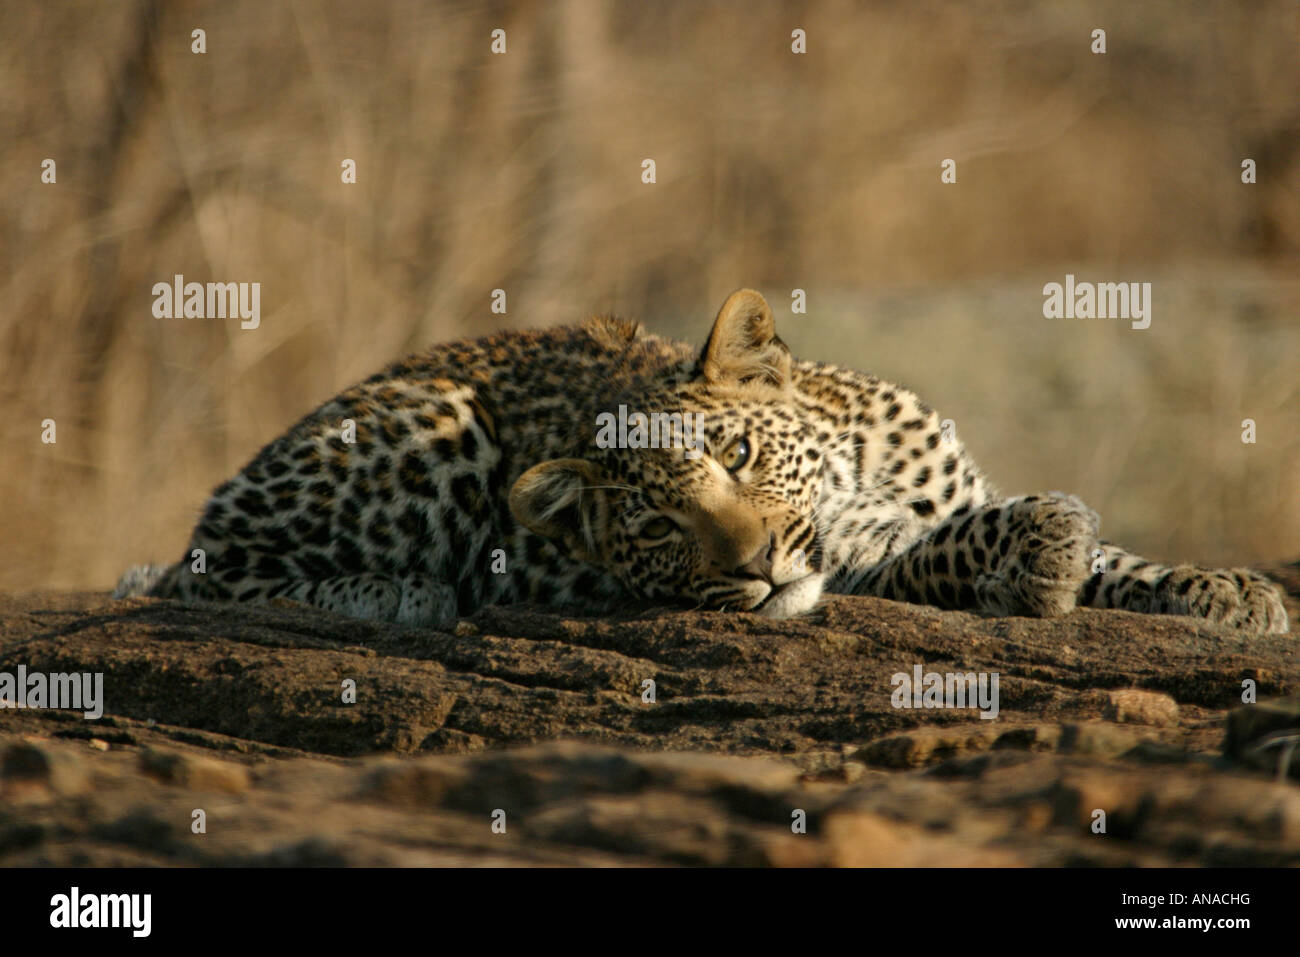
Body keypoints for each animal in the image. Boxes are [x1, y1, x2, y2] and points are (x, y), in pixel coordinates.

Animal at [115, 289, 1290, 635]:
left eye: (737, 449)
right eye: (655, 529)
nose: (754, 566)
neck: (861, 470)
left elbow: (1123, 561)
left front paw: (1226, 591)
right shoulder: (868, 562)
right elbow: (966, 547)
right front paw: (1045, 553)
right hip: (431, 421)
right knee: (200, 574)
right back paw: (397, 593)